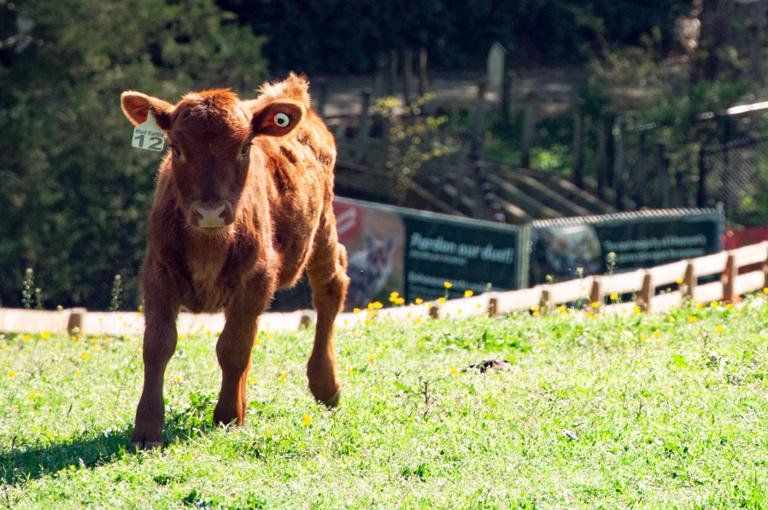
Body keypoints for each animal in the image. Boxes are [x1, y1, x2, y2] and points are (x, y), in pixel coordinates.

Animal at [120, 74, 349, 449]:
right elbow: (158, 345)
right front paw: (148, 428)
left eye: (245, 148)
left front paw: (227, 416)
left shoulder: (256, 278)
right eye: (176, 148)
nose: (211, 211)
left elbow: (233, 347)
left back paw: (325, 384)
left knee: (331, 285)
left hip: (322, 227)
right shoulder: (157, 274)